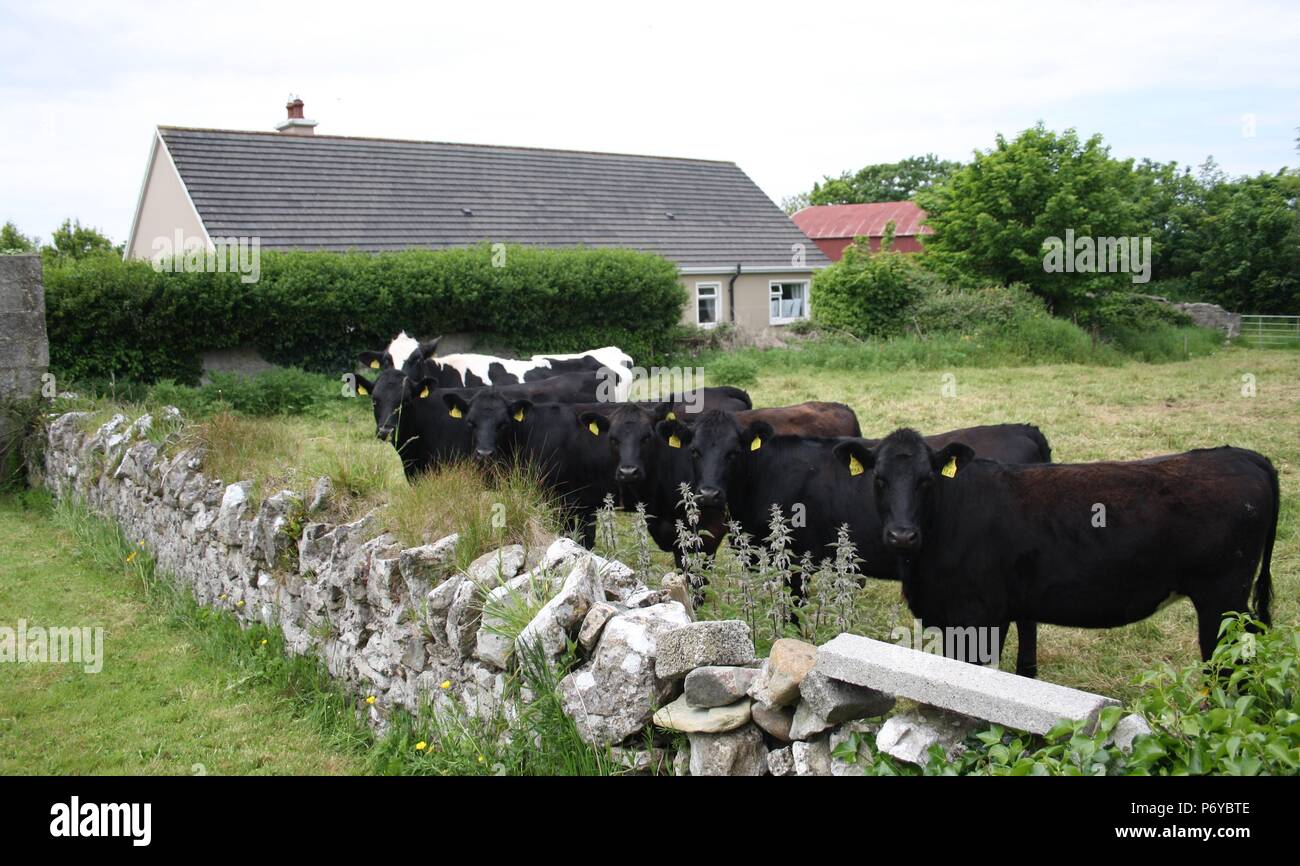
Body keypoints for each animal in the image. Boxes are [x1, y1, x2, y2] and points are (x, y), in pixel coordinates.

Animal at [834, 427, 1278, 676]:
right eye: (879, 478)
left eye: (926, 480)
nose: (902, 536)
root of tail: (1242, 454)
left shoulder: (977, 614)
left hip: (1222, 597)